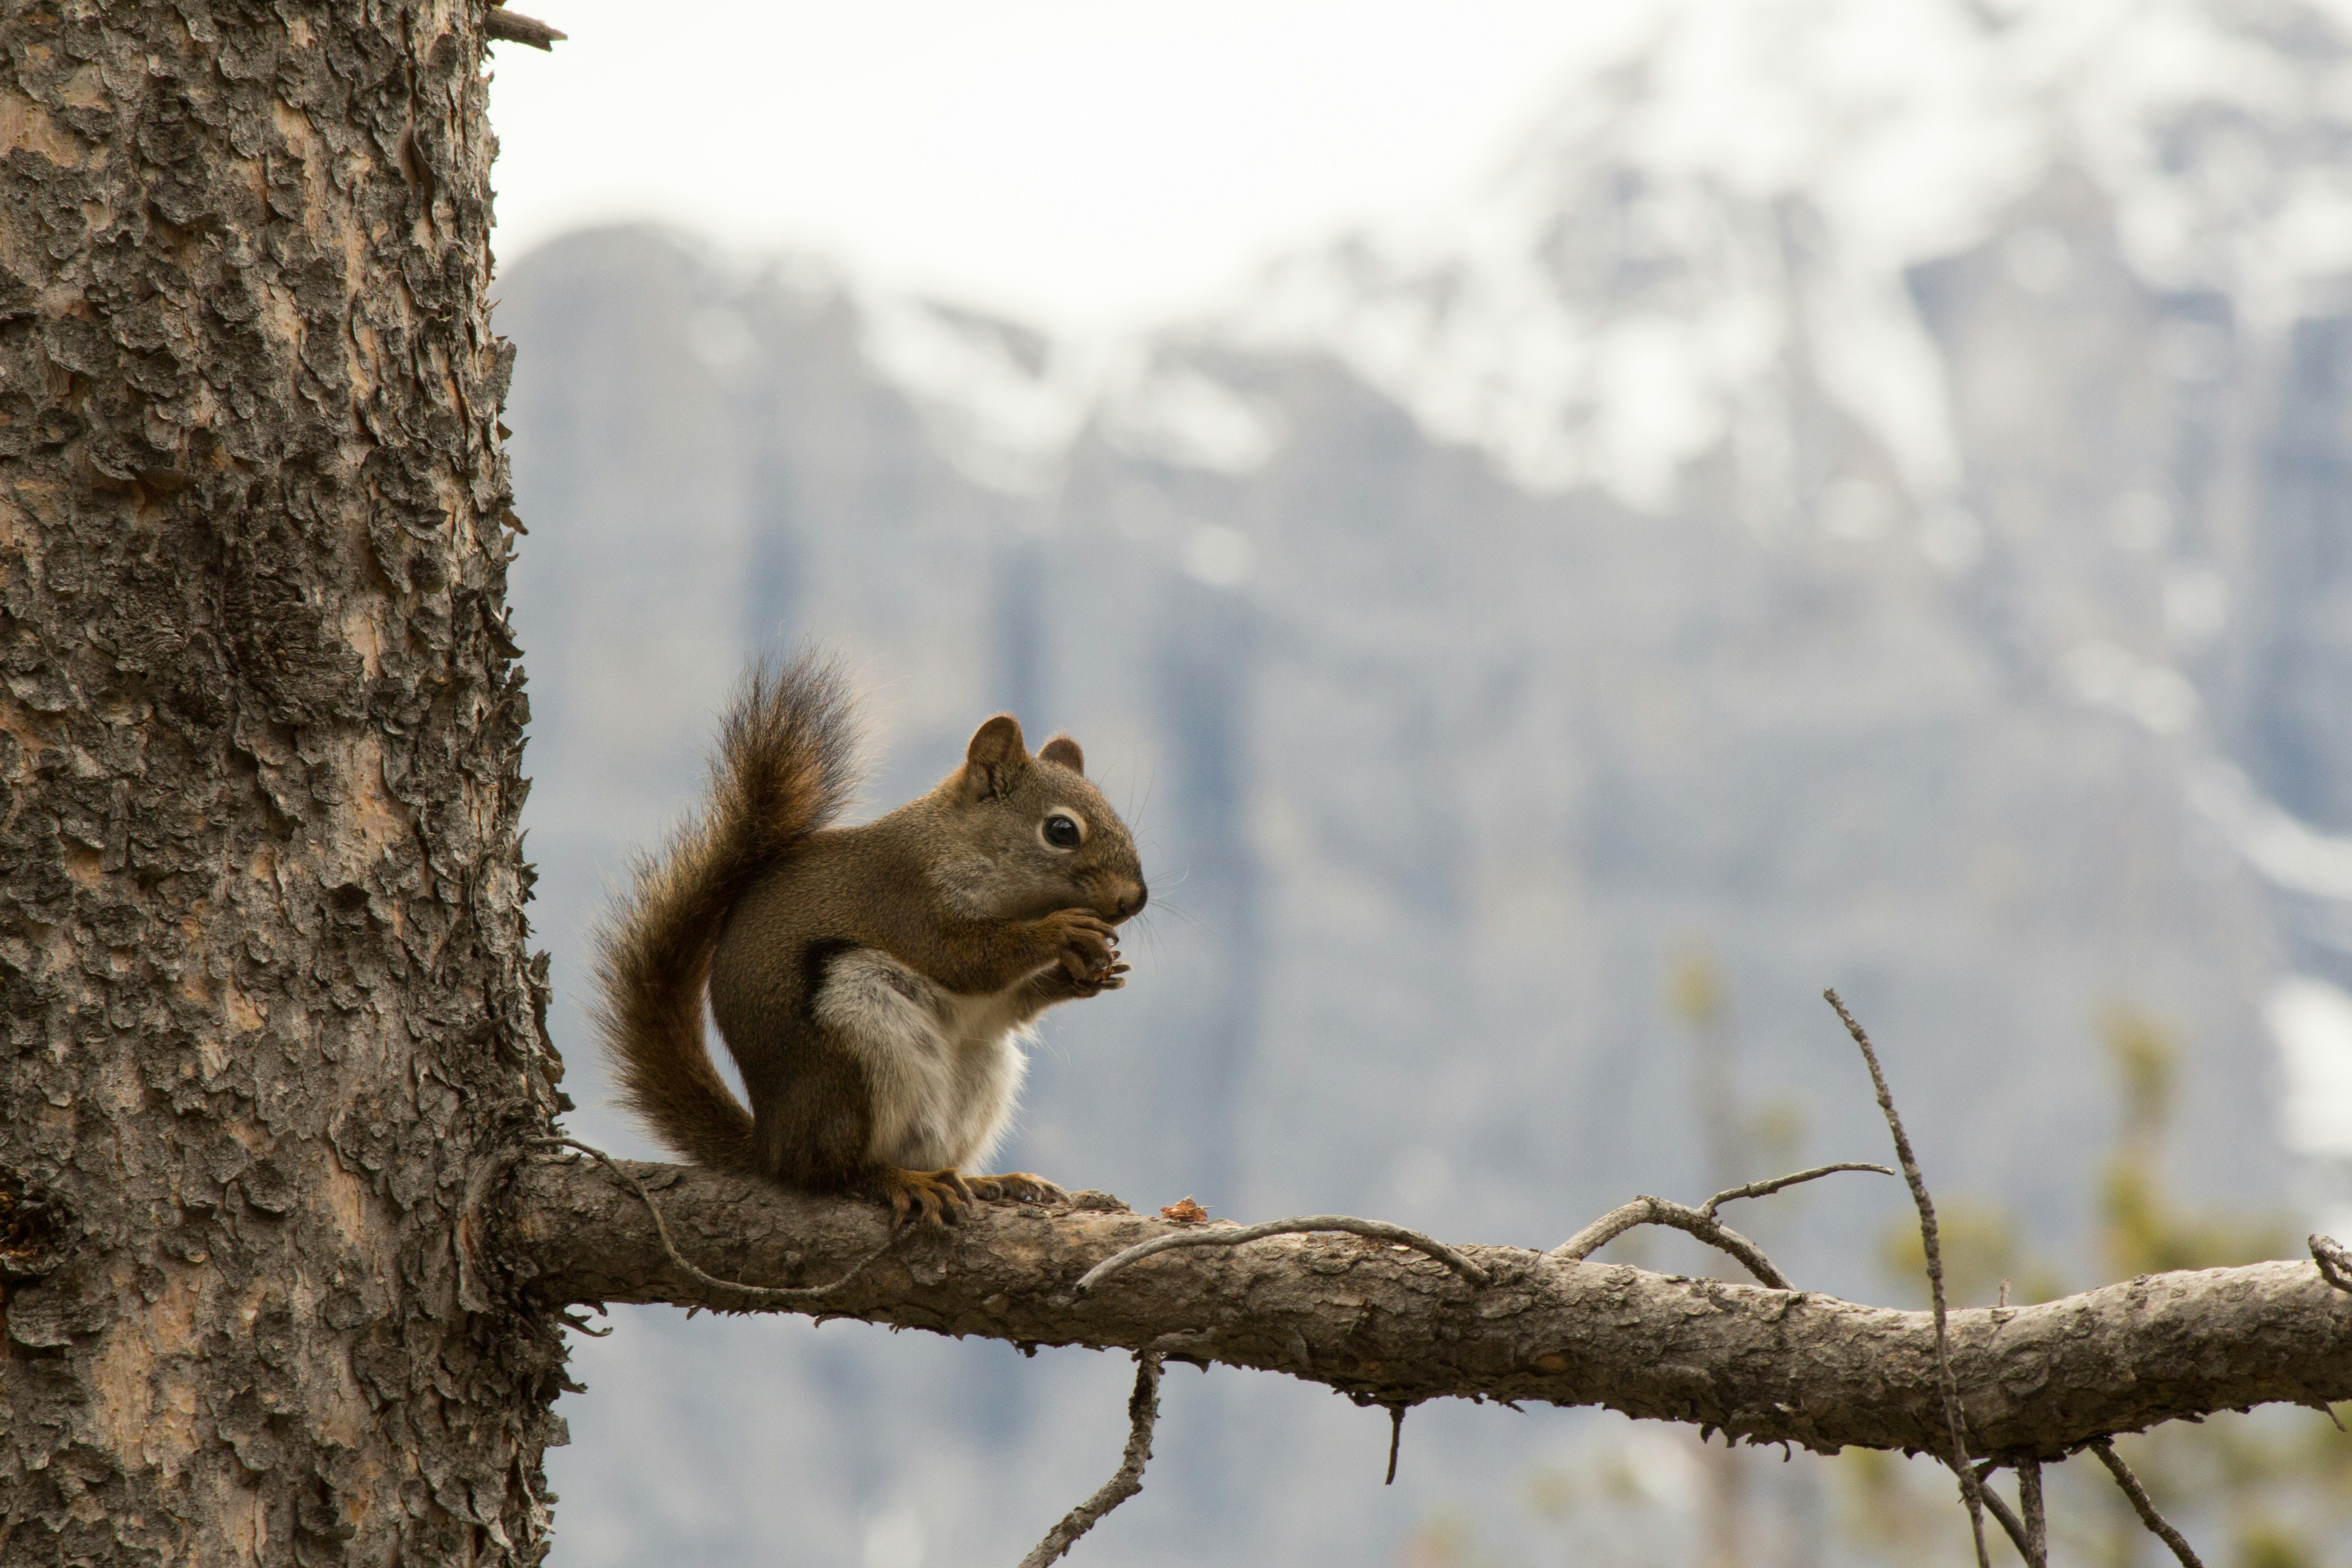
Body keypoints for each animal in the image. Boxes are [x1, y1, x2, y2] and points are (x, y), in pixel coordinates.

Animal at [591, 655, 1148, 1225]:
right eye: (1061, 831)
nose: (1136, 899)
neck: (962, 846)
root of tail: (771, 1146)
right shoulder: (908, 903)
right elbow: (968, 961)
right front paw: (1062, 932)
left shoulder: (982, 999)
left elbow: (1002, 1003)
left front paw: (1086, 973)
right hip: (852, 1054)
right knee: (832, 1172)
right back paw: (898, 1179)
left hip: (980, 1069)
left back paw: (993, 1180)